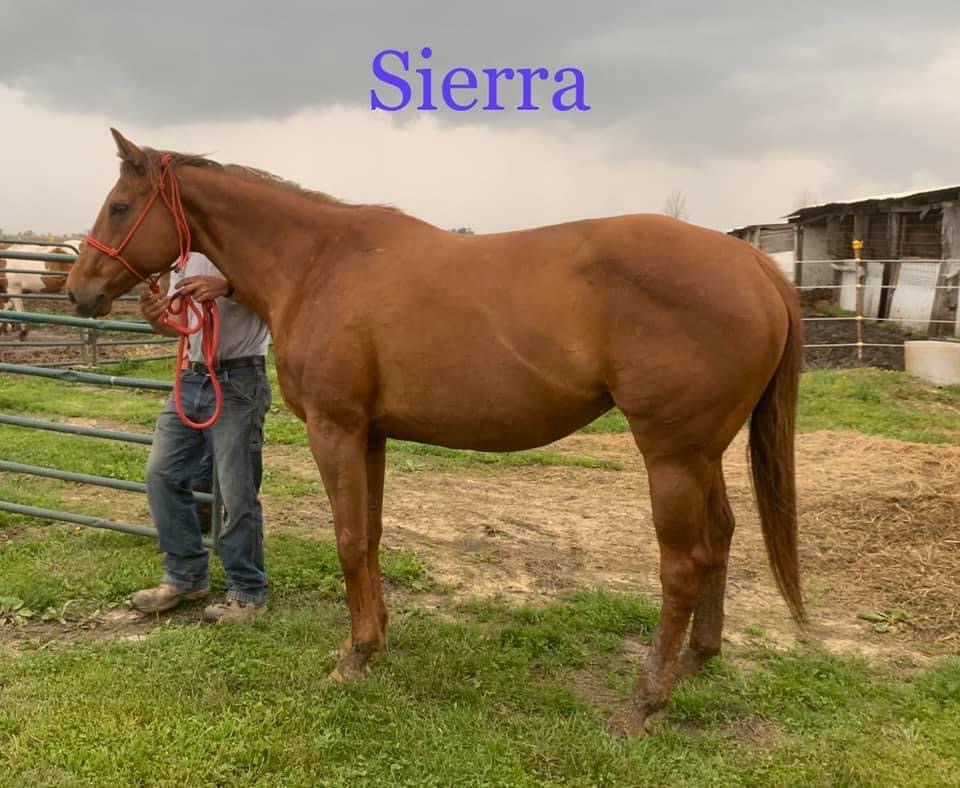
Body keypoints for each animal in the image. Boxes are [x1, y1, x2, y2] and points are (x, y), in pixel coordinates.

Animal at [65, 128, 805, 736]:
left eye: (121, 207)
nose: (78, 290)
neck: (318, 263)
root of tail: (756, 267)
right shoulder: (371, 434)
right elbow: (370, 536)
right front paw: (373, 640)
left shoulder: (336, 430)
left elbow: (347, 539)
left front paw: (354, 657)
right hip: (704, 453)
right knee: (721, 538)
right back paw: (696, 662)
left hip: (673, 454)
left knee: (682, 565)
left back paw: (644, 701)